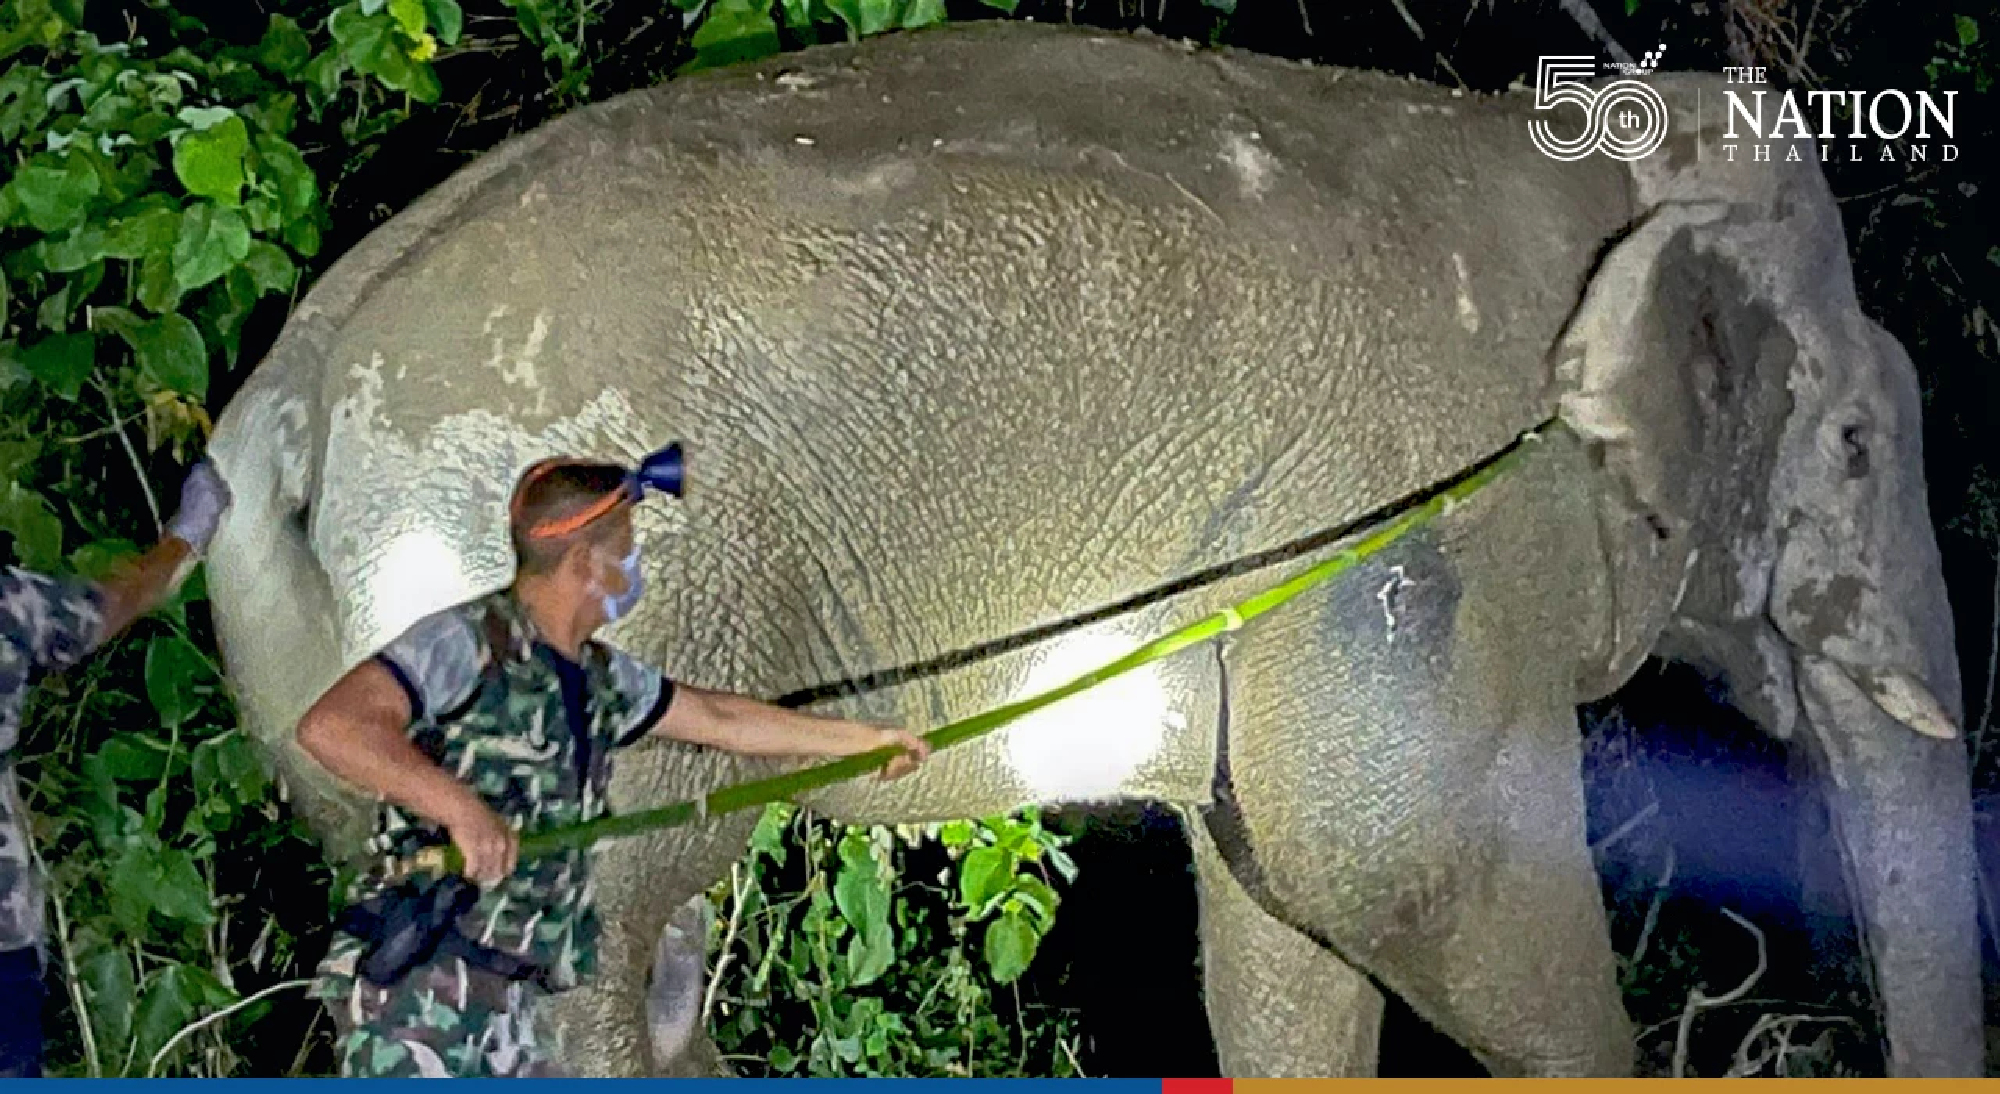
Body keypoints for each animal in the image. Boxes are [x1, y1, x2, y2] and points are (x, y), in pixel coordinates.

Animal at [198, 20, 1982, 1077]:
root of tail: (285, 394)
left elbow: (1287, 930)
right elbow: (1410, 869)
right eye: (1855, 441)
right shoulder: (1412, 520)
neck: (1576, 166)